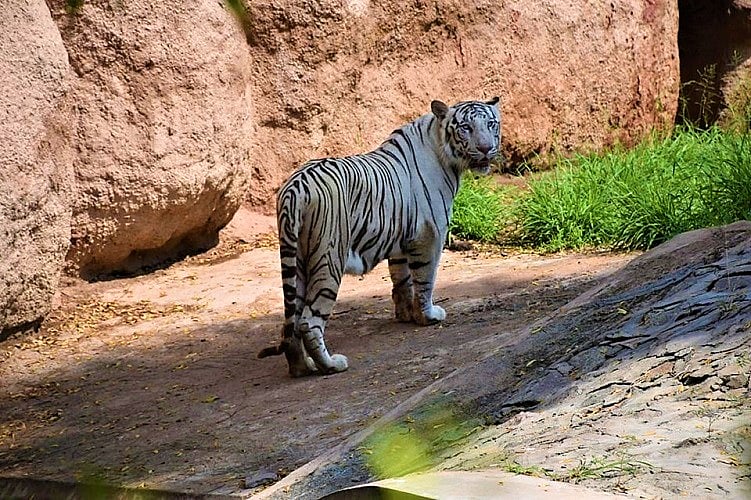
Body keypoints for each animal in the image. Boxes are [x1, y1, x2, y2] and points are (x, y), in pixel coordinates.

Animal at [258, 97, 502, 377]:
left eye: (491, 124)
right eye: (466, 128)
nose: (486, 148)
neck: (441, 147)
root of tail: (295, 187)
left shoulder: (401, 238)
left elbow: (402, 278)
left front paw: (407, 314)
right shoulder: (431, 234)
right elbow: (425, 279)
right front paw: (428, 316)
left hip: (297, 261)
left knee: (291, 324)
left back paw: (302, 367)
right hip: (327, 258)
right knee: (309, 322)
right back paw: (331, 365)